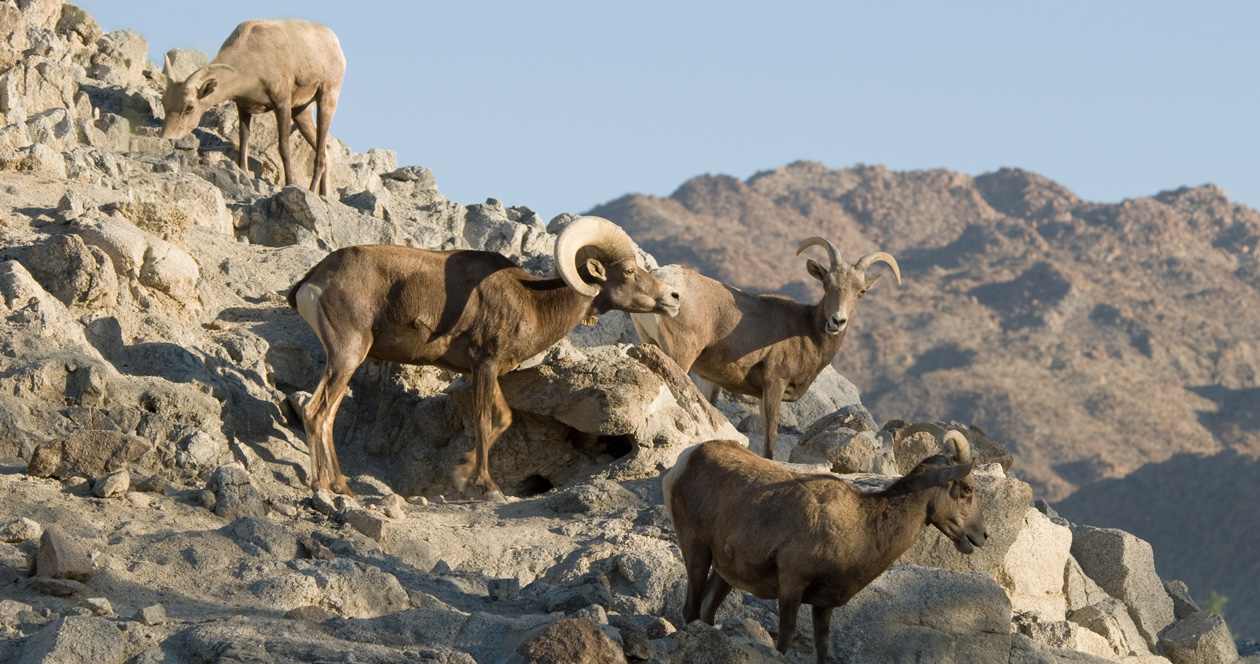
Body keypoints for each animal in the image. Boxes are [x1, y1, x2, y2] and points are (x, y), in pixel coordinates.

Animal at [160, 19, 345, 195]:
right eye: (164, 102)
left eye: (189, 107)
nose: (166, 137)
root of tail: (336, 44)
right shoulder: (243, 107)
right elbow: (243, 140)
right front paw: (243, 171)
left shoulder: (282, 103)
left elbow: (284, 147)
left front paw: (290, 183)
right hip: (301, 112)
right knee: (326, 150)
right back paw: (324, 195)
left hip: (327, 99)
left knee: (321, 154)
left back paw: (312, 191)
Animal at [287, 216, 681, 498]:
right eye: (629, 271)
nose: (674, 298)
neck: (532, 301)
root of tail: (313, 281)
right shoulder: (485, 364)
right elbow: (482, 420)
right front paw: (487, 488)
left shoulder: (482, 371)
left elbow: (503, 419)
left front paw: (462, 474)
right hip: (347, 354)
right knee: (316, 412)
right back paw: (323, 487)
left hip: (346, 361)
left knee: (327, 415)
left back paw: (339, 486)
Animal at [631, 237, 900, 459]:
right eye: (826, 284)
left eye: (861, 291)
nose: (837, 321)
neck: (807, 331)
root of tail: (663, 279)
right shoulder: (775, 383)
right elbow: (771, 436)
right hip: (680, 355)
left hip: (651, 343)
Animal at [663, 425, 986, 664]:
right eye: (967, 488)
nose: (981, 536)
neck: (863, 526)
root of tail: (687, 458)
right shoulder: (792, 584)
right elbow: (784, 639)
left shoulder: (823, 606)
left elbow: (822, 650)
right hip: (696, 550)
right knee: (690, 610)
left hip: (725, 573)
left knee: (706, 613)